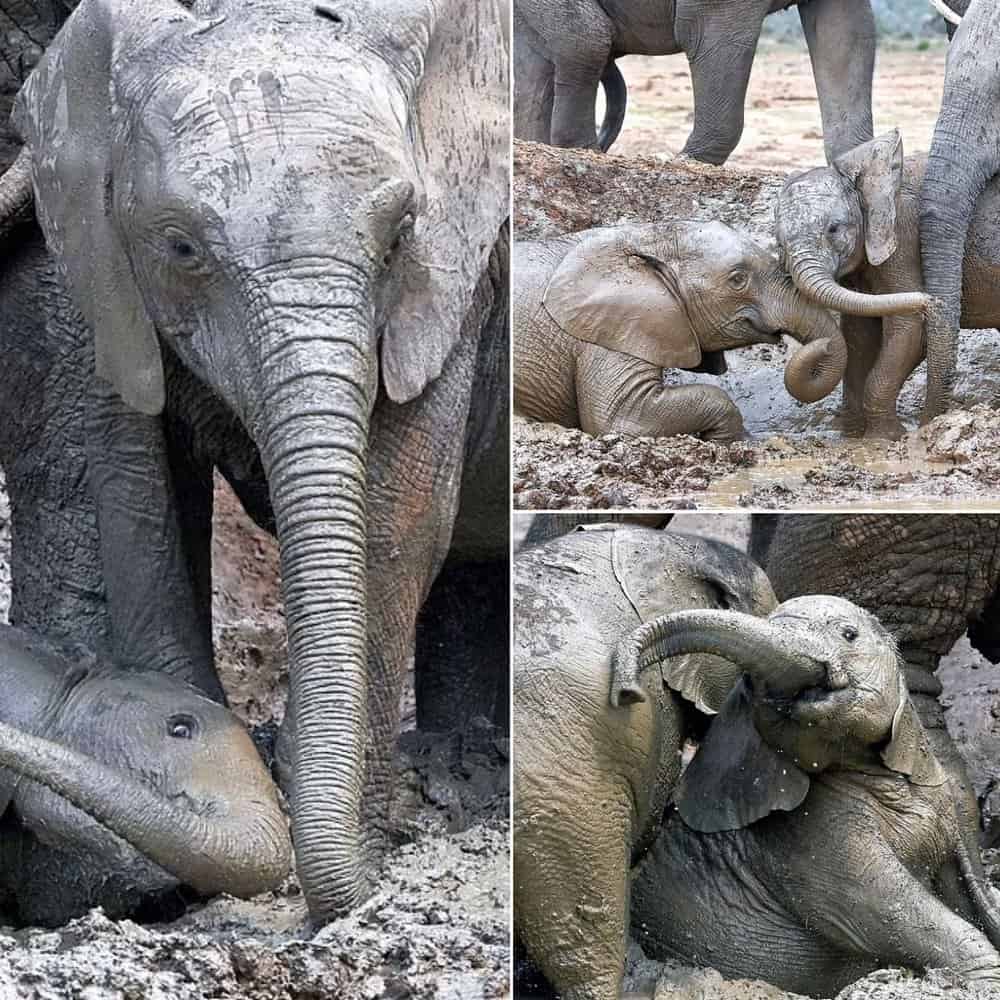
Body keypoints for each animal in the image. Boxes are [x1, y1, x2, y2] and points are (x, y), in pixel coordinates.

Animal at [513, 222, 848, 442]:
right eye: (737, 280)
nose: (825, 346)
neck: (644, 237)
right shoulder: (605, 333)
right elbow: (620, 417)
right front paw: (734, 442)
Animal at [626, 596, 1000, 996]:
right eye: (751, 680)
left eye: (849, 634)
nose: (627, 689)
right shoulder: (810, 836)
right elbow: (882, 907)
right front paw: (986, 982)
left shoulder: (942, 804)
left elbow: (961, 890)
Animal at [775, 130, 1000, 438]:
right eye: (779, 243)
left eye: (834, 229)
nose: (932, 300)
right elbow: (859, 333)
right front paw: (853, 437)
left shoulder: (902, 237)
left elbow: (908, 328)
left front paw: (885, 438)